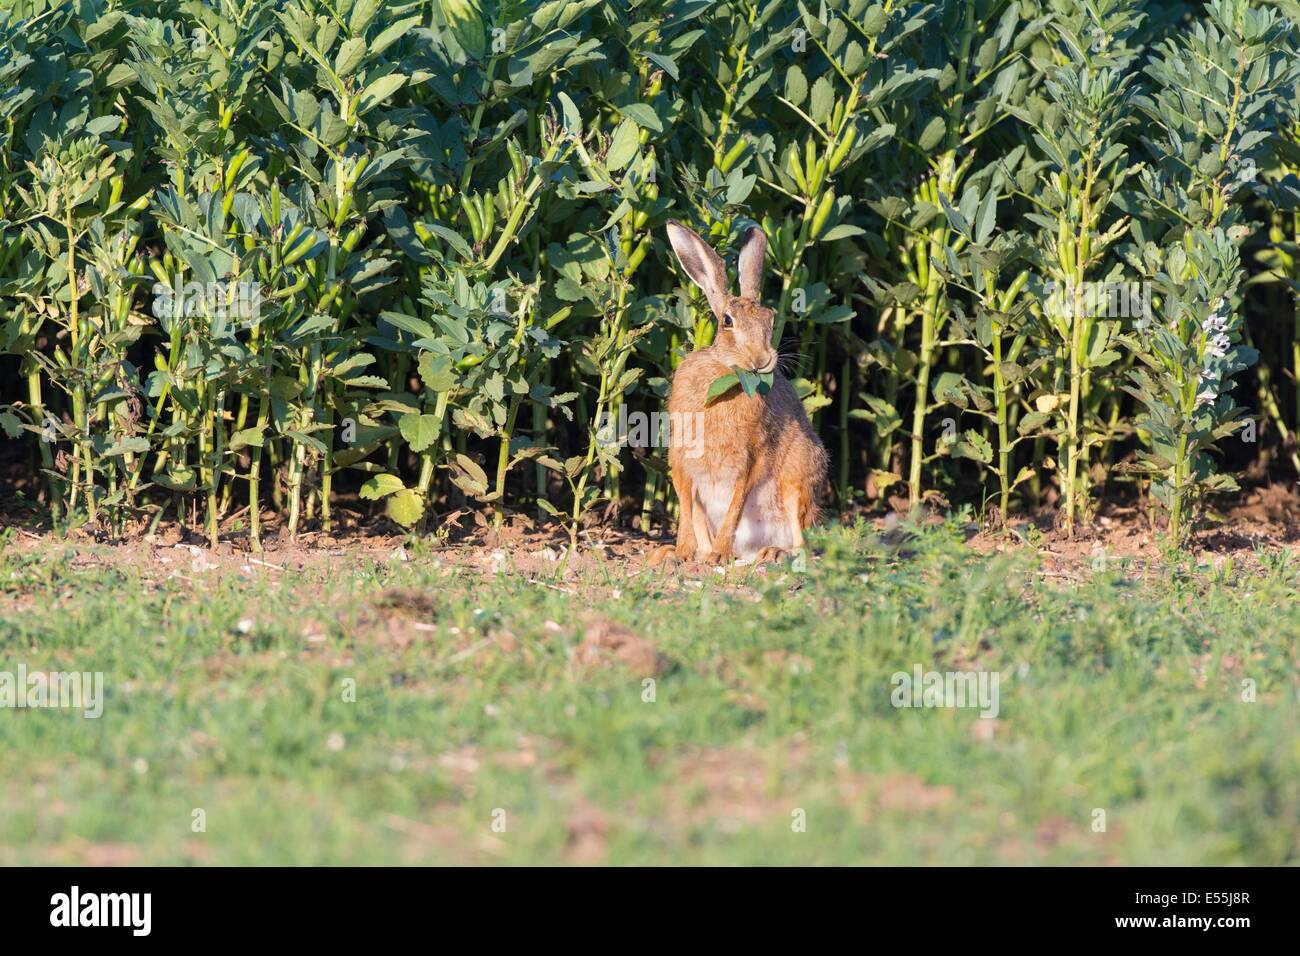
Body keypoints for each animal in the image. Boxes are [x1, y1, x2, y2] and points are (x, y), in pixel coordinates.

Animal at [659, 220, 828, 565]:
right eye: (727, 321)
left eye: (771, 320)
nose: (762, 359)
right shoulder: (681, 458)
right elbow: (685, 508)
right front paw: (682, 554)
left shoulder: (753, 456)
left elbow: (736, 505)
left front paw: (717, 555)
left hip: (799, 477)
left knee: (802, 541)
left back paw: (772, 552)